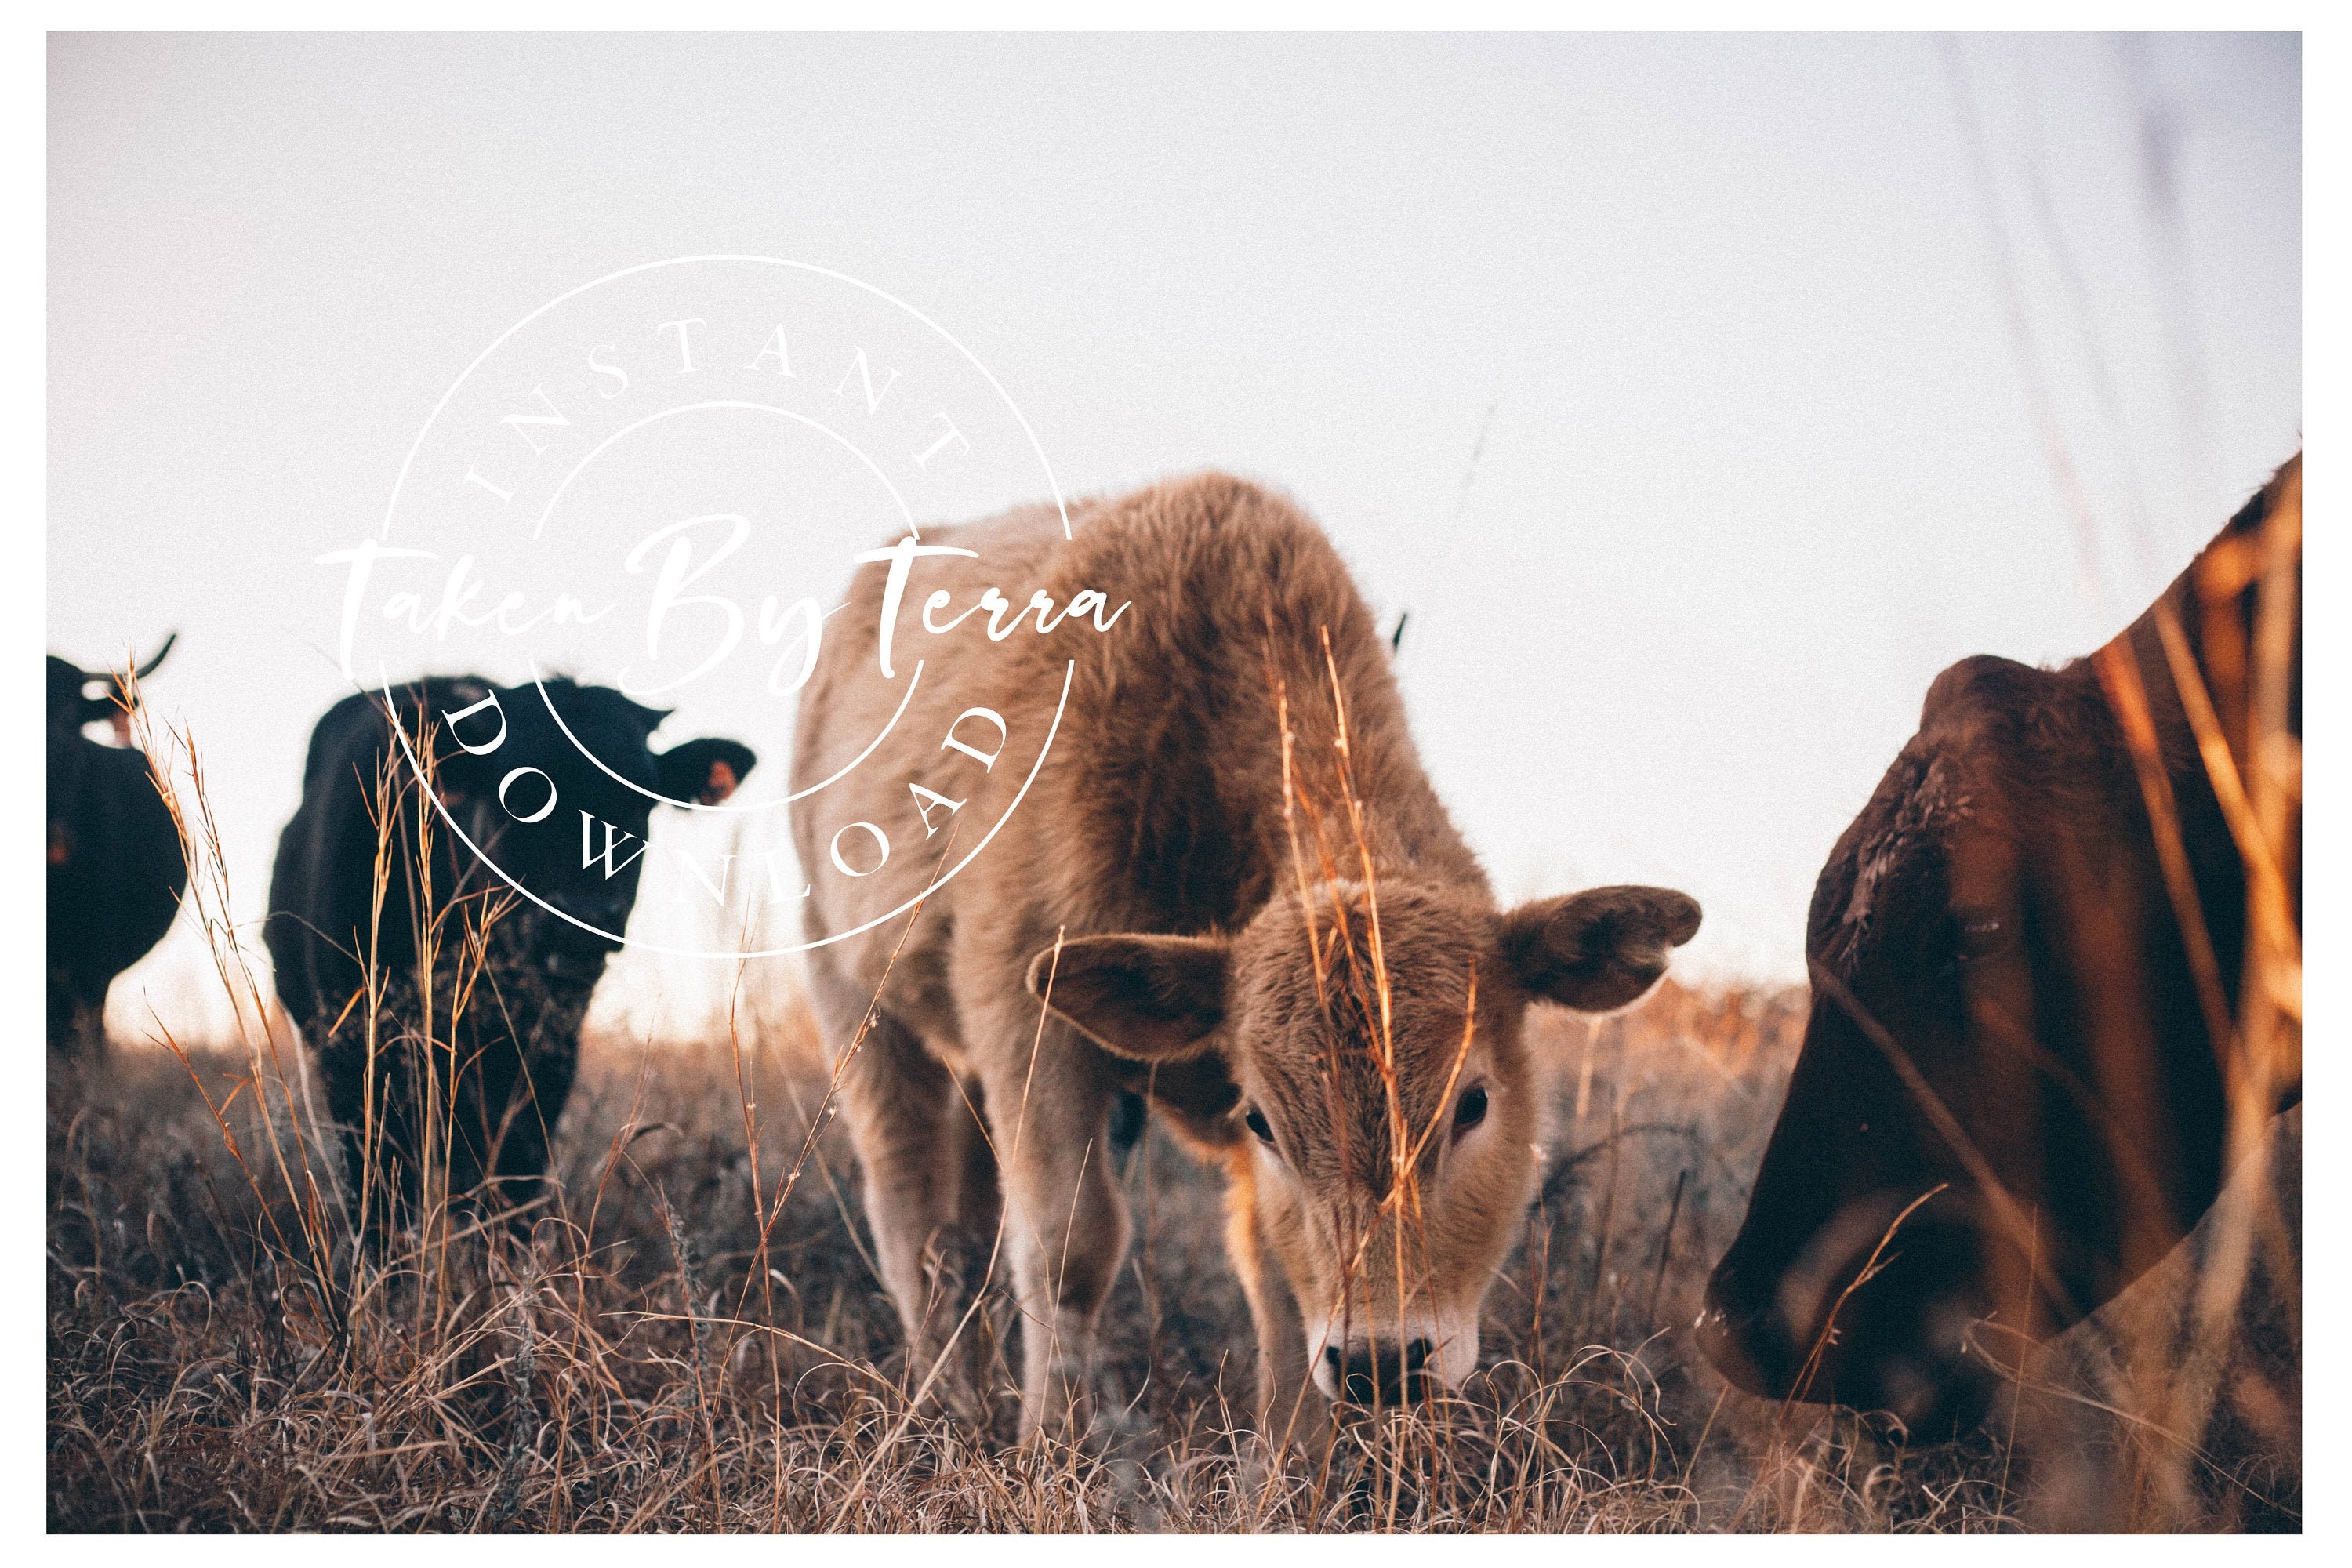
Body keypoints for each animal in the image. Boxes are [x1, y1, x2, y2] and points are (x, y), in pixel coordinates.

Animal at [266, 676, 755, 1232]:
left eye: (638, 805)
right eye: (517, 797)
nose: (580, 920)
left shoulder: (545, 1062)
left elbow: (512, 1181)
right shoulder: (355, 1055)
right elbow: (381, 1193)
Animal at [792, 473, 1701, 1441]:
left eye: (1475, 1102)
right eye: (1263, 1119)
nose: (1383, 1363)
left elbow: (1273, 1283)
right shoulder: (1025, 1025)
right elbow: (1069, 1249)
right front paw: (1051, 1445)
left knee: (960, 1225)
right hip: (858, 1010)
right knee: (913, 1218)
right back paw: (949, 1408)